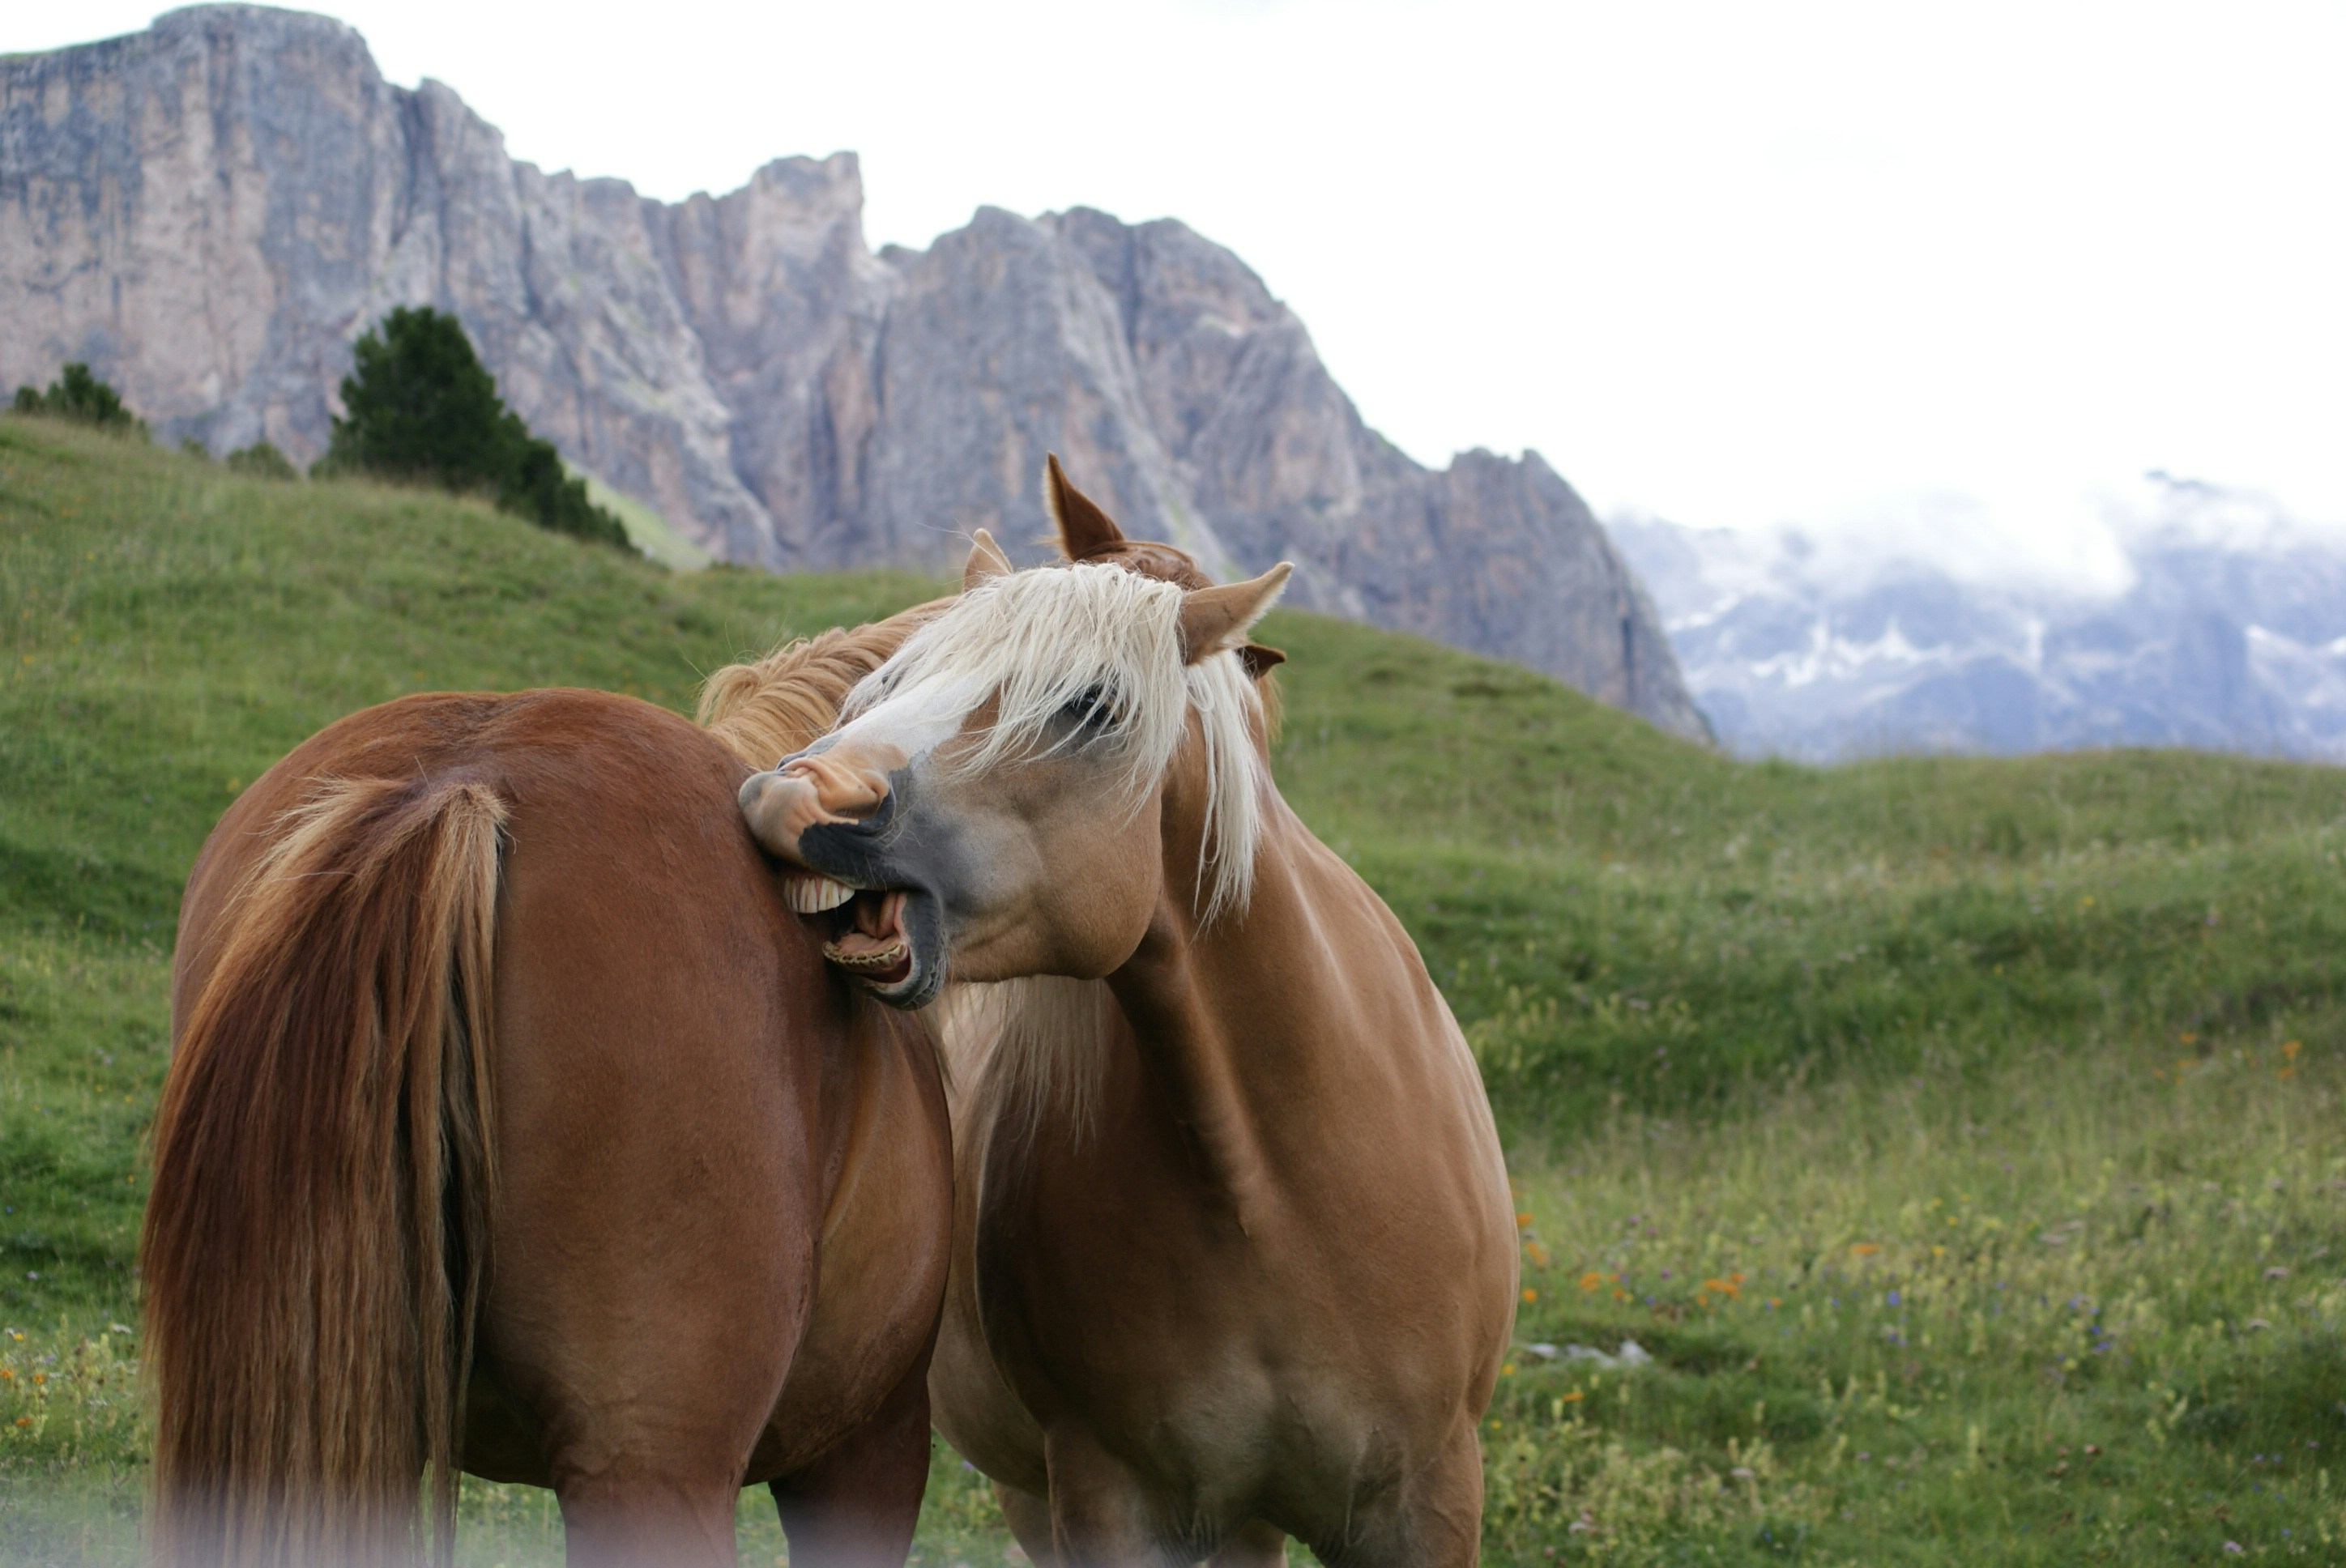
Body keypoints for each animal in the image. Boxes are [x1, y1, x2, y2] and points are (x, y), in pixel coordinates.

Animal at [737, 461, 1517, 1566]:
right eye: (889, 683)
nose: (788, 799)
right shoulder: (1111, 1495)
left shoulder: (1426, 1500)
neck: (1268, 1186)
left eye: (1091, 704)